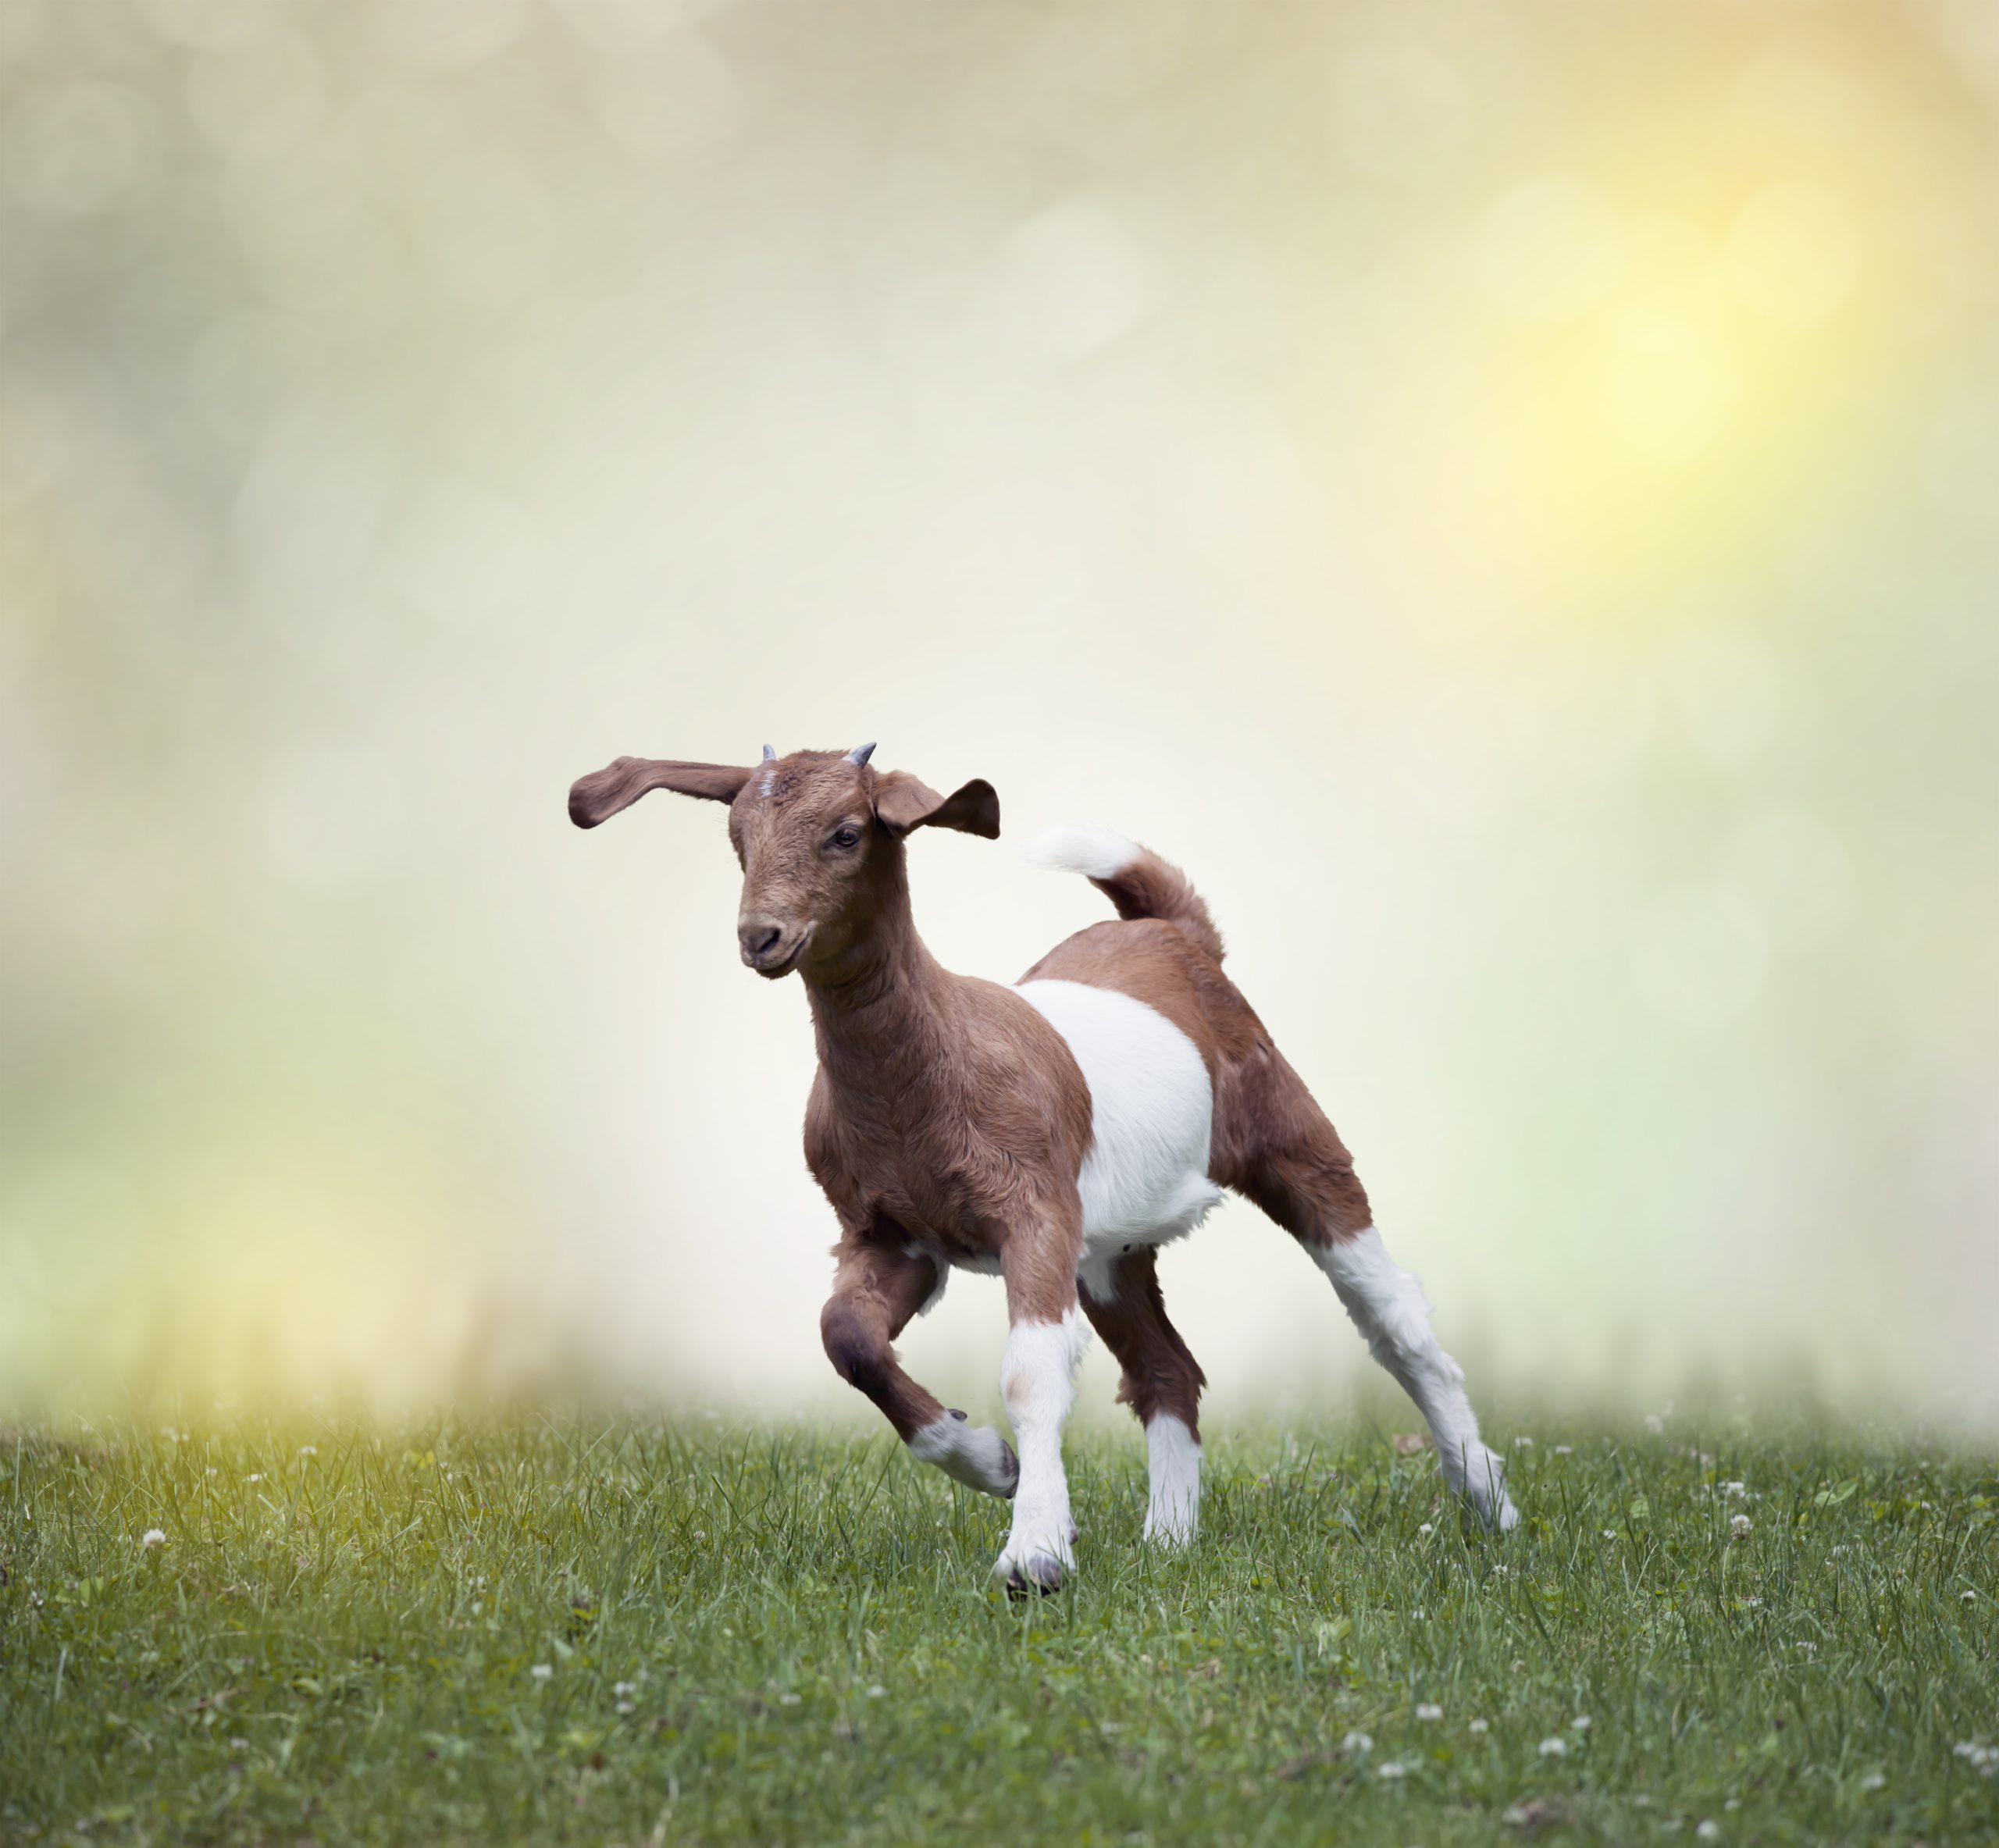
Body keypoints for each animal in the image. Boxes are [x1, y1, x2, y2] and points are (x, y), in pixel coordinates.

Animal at [569, 743, 1517, 1591]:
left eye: (846, 833)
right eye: (737, 835)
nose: (760, 936)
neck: (935, 1063)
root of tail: (1174, 931)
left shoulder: (1033, 1211)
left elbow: (1031, 1371)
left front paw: (1034, 1555)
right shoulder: (892, 1235)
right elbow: (847, 1338)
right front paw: (987, 1462)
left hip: (1290, 1138)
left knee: (1392, 1315)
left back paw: (1488, 1503)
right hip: (1108, 1250)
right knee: (1166, 1368)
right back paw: (1168, 1540)